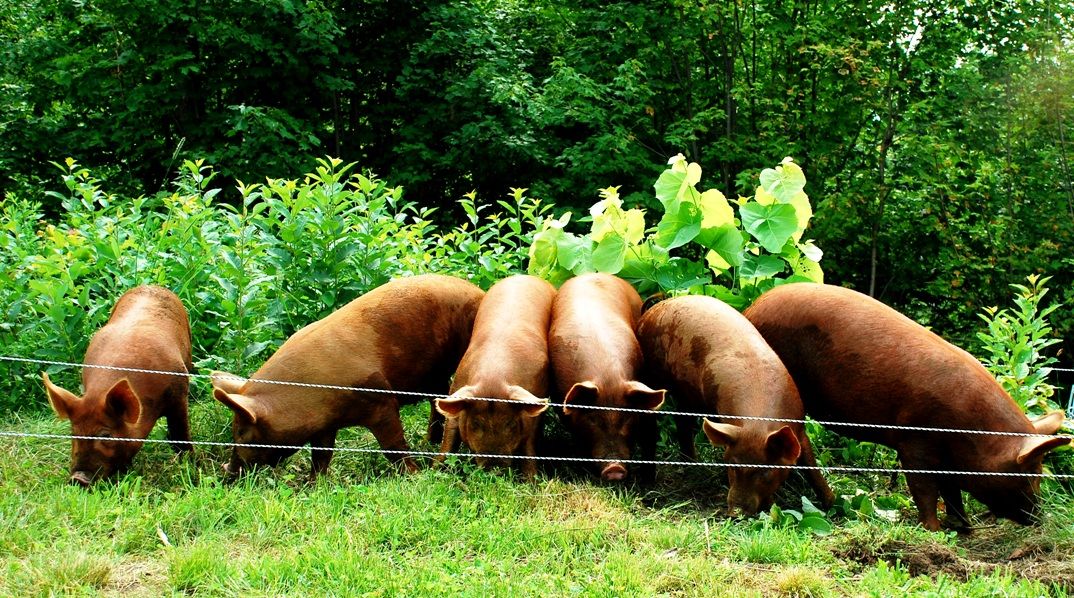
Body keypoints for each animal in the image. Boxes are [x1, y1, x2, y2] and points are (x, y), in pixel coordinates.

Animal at [42, 285, 193, 487]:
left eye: (106, 435)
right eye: (73, 433)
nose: (78, 478)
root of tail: (151, 286)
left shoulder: (179, 395)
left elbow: (180, 435)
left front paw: (190, 464)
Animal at [211, 274, 484, 479]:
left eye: (242, 433)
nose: (228, 471)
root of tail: (476, 290)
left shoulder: (381, 401)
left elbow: (392, 445)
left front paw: (414, 474)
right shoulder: (324, 425)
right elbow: (321, 455)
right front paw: (312, 484)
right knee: (437, 397)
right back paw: (430, 441)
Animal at [435, 275, 554, 478]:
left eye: (510, 423)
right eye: (476, 423)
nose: (493, 470)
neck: (494, 376)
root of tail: (524, 276)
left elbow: (529, 440)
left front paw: (531, 479)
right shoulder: (458, 385)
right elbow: (449, 433)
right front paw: (434, 470)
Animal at [637, 295, 835, 514]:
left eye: (766, 473)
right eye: (731, 465)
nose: (735, 512)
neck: (756, 424)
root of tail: (653, 309)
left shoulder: (799, 427)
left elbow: (811, 465)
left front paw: (833, 505)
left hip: (686, 395)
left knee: (683, 423)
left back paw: (692, 464)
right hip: (652, 372)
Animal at [744, 282, 1070, 530]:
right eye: (1031, 474)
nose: (1039, 518)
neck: (973, 436)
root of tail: (753, 307)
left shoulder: (947, 459)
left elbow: (951, 491)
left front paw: (965, 528)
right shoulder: (915, 441)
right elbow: (924, 489)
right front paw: (935, 531)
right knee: (802, 444)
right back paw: (831, 501)